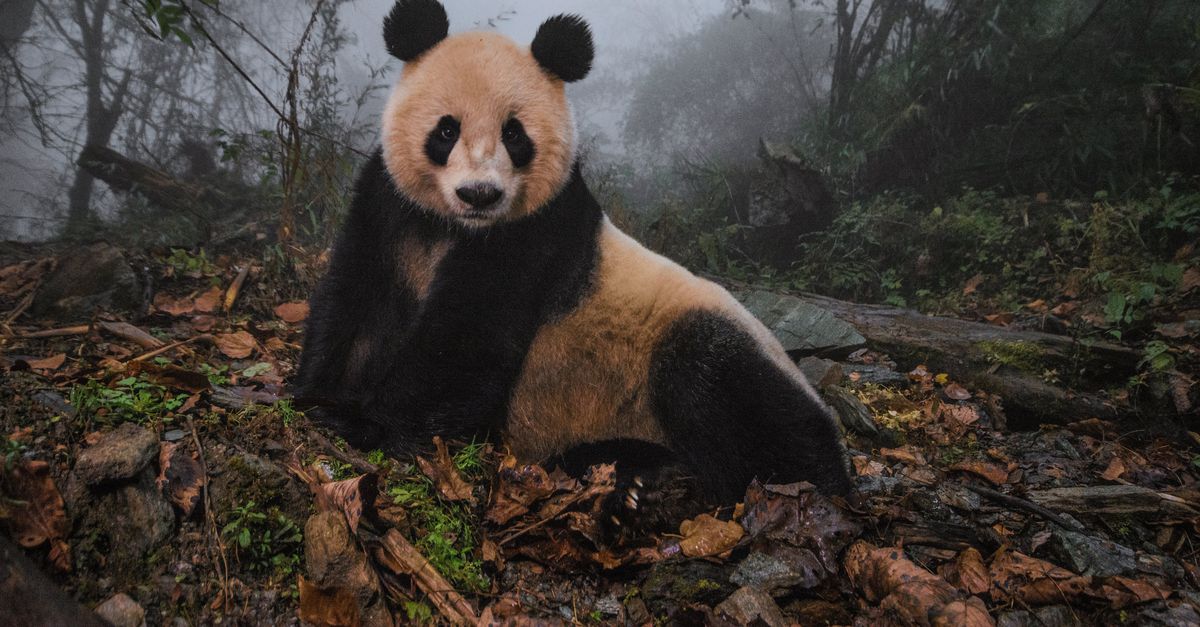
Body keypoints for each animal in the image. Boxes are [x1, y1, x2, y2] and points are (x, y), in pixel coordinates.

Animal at [295, 0, 851, 527]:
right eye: (446, 130)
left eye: (515, 135)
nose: (480, 194)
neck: (456, 227)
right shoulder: (389, 205)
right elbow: (355, 299)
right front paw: (316, 396)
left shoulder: (537, 231)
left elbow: (466, 340)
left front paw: (365, 423)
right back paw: (635, 477)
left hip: (699, 339)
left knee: (732, 394)